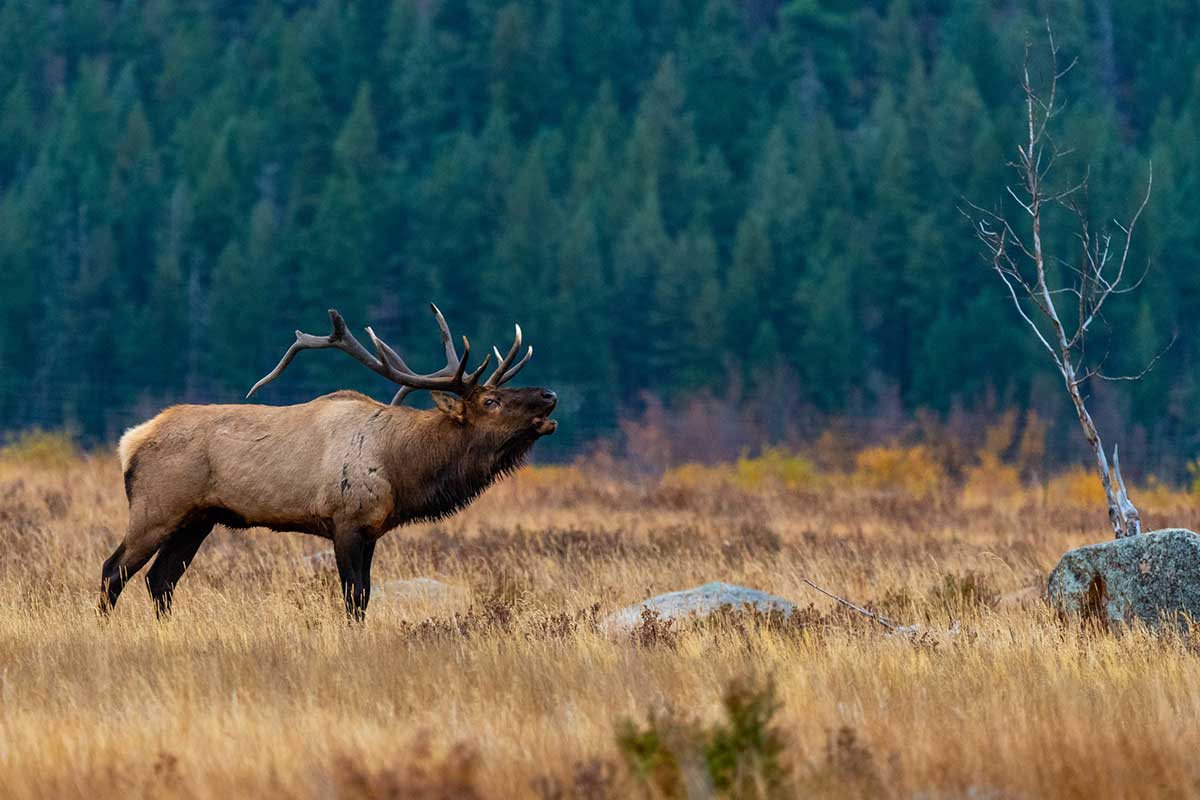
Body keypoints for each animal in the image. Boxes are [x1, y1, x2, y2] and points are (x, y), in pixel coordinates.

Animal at [102, 304, 557, 621]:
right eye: (490, 401)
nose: (549, 394)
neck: (400, 468)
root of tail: (130, 441)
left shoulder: (373, 529)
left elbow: (367, 596)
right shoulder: (345, 520)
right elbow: (353, 596)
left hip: (198, 519)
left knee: (160, 580)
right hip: (157, 508)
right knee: (114, 570)